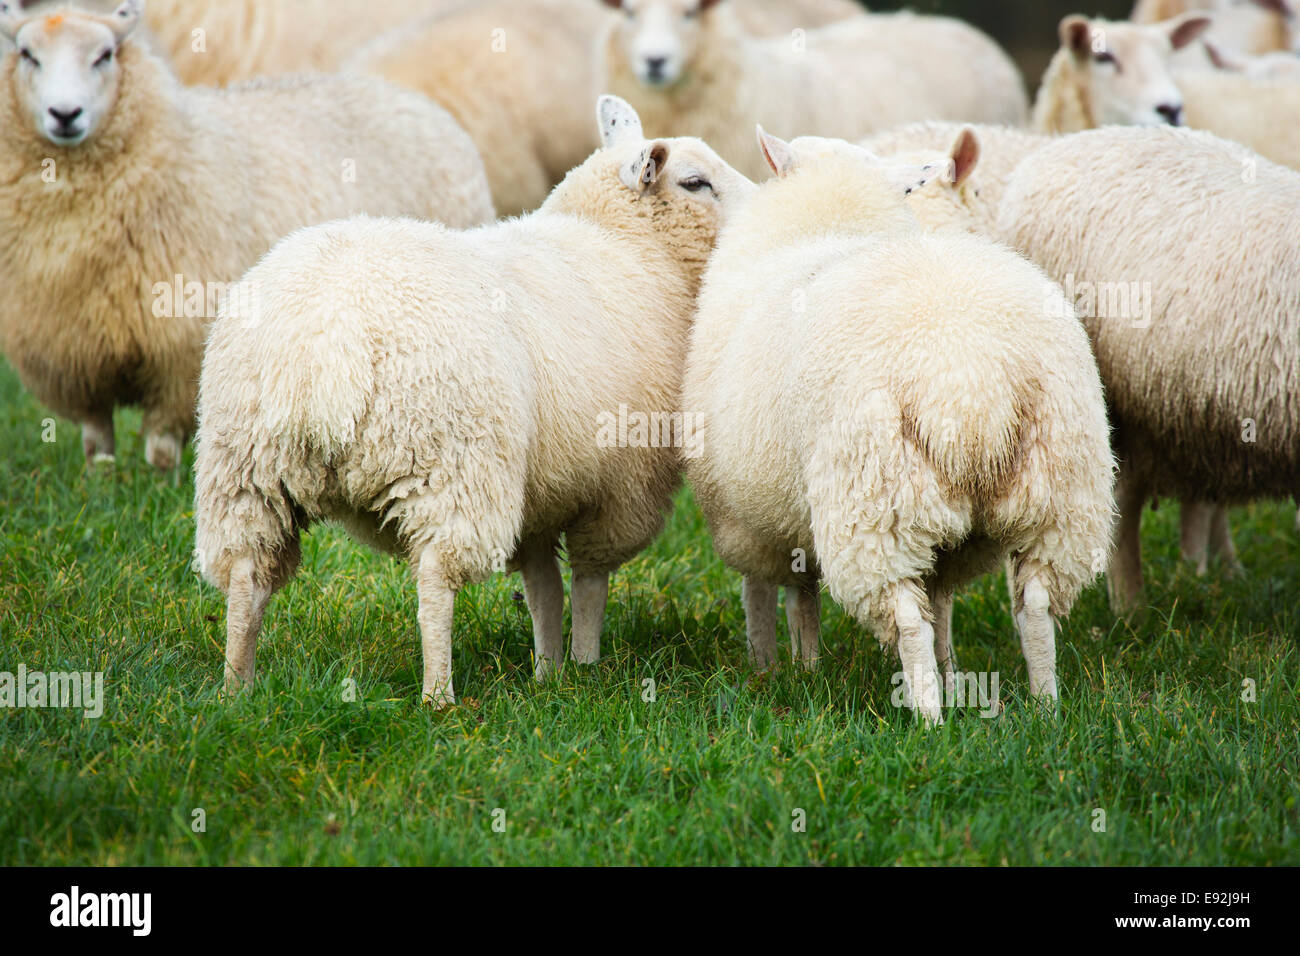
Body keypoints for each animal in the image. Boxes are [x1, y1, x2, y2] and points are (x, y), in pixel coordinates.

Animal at [0, 0, 493, 470]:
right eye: (27, 55)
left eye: (104, 56)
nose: (65, 115)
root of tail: (411, 99)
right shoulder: (71, 355)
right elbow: (95, 444)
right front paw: (99, 485)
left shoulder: (177, 354)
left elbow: (161, 450)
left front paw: (159, 483)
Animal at [193, 97, 755, 707]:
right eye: (696, 182)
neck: (624, 246)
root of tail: (330, 332)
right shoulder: (620, 488)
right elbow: (588, 584)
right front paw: (586, 667)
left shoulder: (540, 491)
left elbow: (542, 589)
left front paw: (550, 672)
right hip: (449, 466)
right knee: (435, 585)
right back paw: (438, 695)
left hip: (246, 472)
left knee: (246, 579)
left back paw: (235, 689)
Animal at [681, 129, 1115, 724]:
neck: (827, 224)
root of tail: (968, 381)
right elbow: (935, 605)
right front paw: (947, 675)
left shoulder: (748, 517)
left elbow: (782, 595)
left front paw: (780, 665)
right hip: (1060, 488)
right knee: (1035, 602)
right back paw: (1043, 704)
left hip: (875, 499)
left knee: (906, 616)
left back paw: (928, 716)